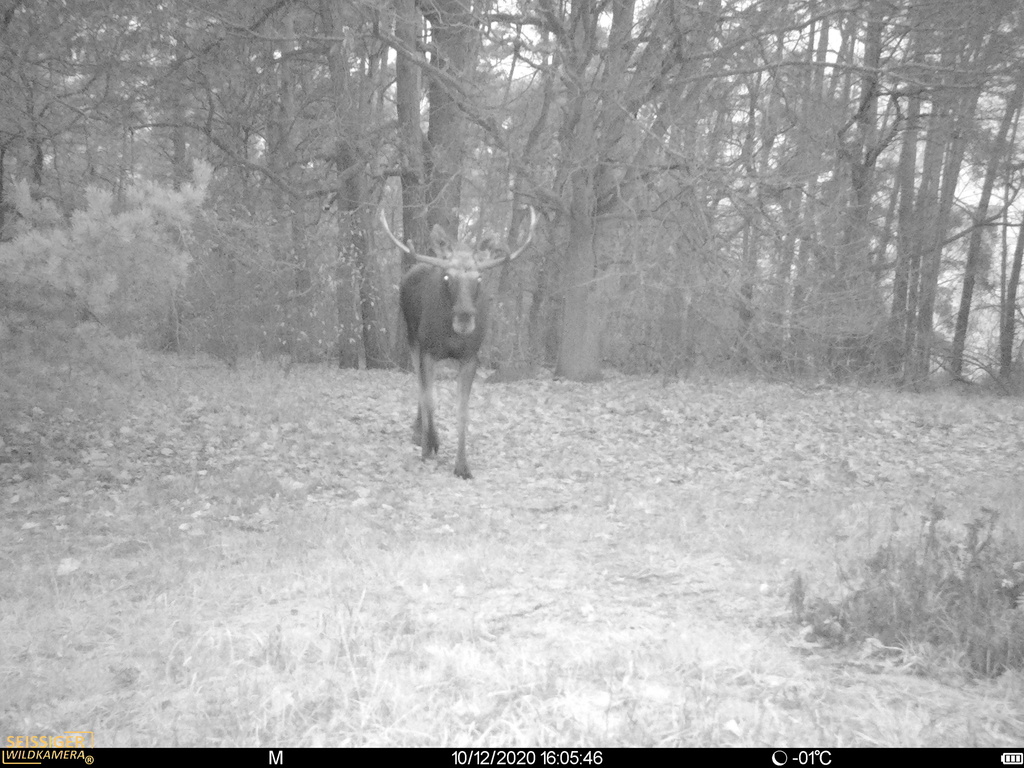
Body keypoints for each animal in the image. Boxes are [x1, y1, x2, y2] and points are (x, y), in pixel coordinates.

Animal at [380, 207, 538, 479]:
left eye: (479, 278)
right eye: (447, 277)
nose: (464, 317)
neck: (452, 337)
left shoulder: (470, 357)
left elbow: (463, 411)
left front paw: (462, 466)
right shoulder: (428, 351)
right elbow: (430, 398)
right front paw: (429, 445)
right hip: (412, 338)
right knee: (419, 385)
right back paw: (420, 433)